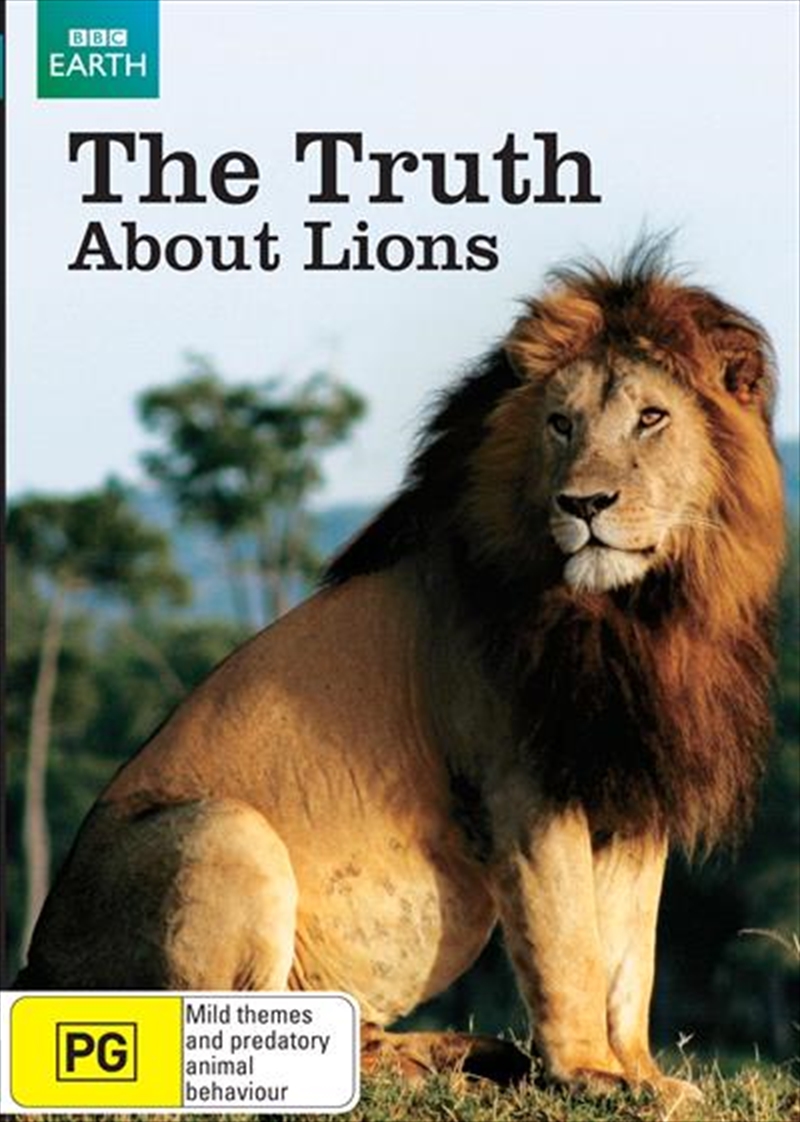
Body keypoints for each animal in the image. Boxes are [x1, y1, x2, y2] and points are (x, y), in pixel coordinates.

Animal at [16, 243, 785, 1110]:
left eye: (651, 418)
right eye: (561, 424)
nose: (583, 503)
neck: (640, 614)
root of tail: (36, 969)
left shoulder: (630, 781)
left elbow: (630, 957)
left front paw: (644, 1076)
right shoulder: (522, 784)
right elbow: (571, 946)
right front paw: (587, 1074)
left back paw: (455, 1058)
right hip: (222, 830)